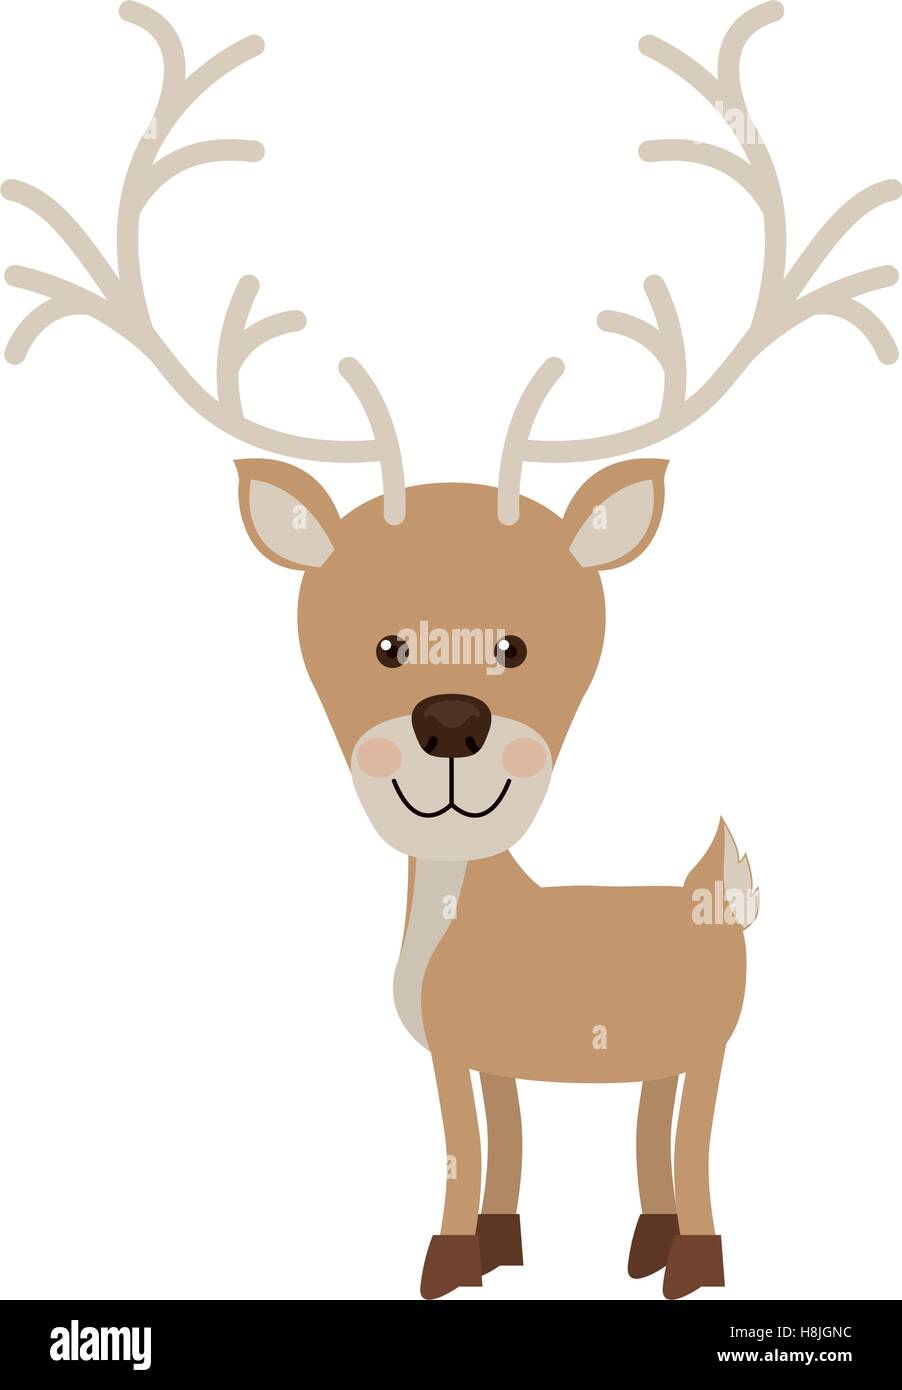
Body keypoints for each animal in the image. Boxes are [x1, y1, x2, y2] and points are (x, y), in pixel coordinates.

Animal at [4, 2, 899, 1300]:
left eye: (521, 644)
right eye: (379, 642)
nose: (449, 726)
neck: (463, 914)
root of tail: (714, 897)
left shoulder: (473, 1044)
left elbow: (466, 1141)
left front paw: (443, 1260)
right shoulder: (468, 1052)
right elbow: (488, 1137)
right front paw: (491, 1245)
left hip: (711, 1043)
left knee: (693, 1131)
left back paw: (692, 1259)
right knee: (652, 1121)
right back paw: (640, 1244)